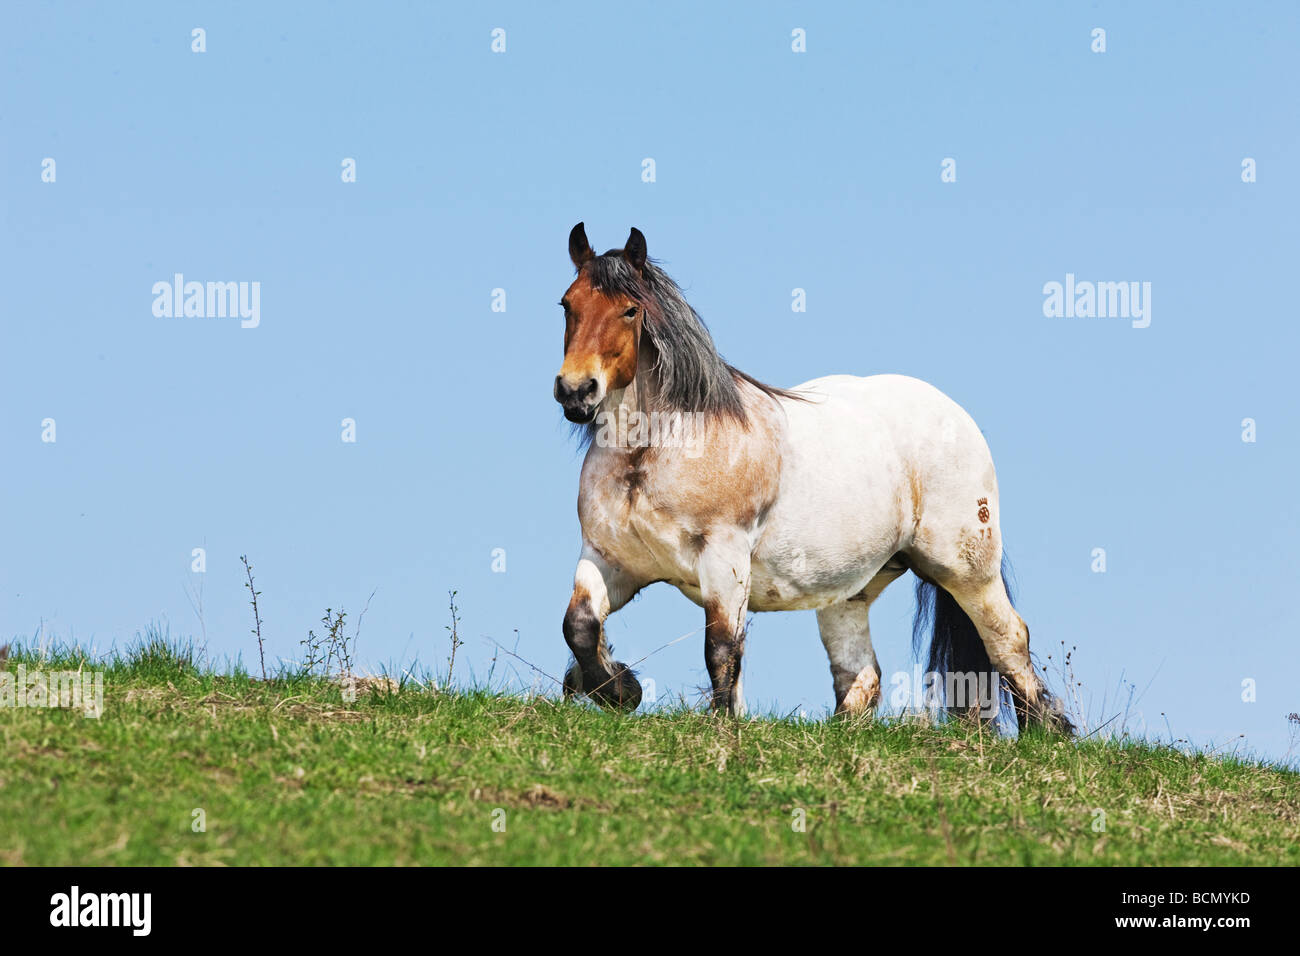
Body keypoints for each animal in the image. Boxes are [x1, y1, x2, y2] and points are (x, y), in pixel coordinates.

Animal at [553, 223, 1072, 734]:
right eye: (567, 304)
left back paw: (1046, 732)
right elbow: (579, 626)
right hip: (850, 589)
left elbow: (721, 648)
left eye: (629, 309)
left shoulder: (724, 561)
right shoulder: (608, 559)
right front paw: (618, 688)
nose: (576, 391)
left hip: (966, 570)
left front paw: (718, 724)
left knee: (1008, 639)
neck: (649, 457)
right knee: (862, 676)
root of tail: (956, 417)